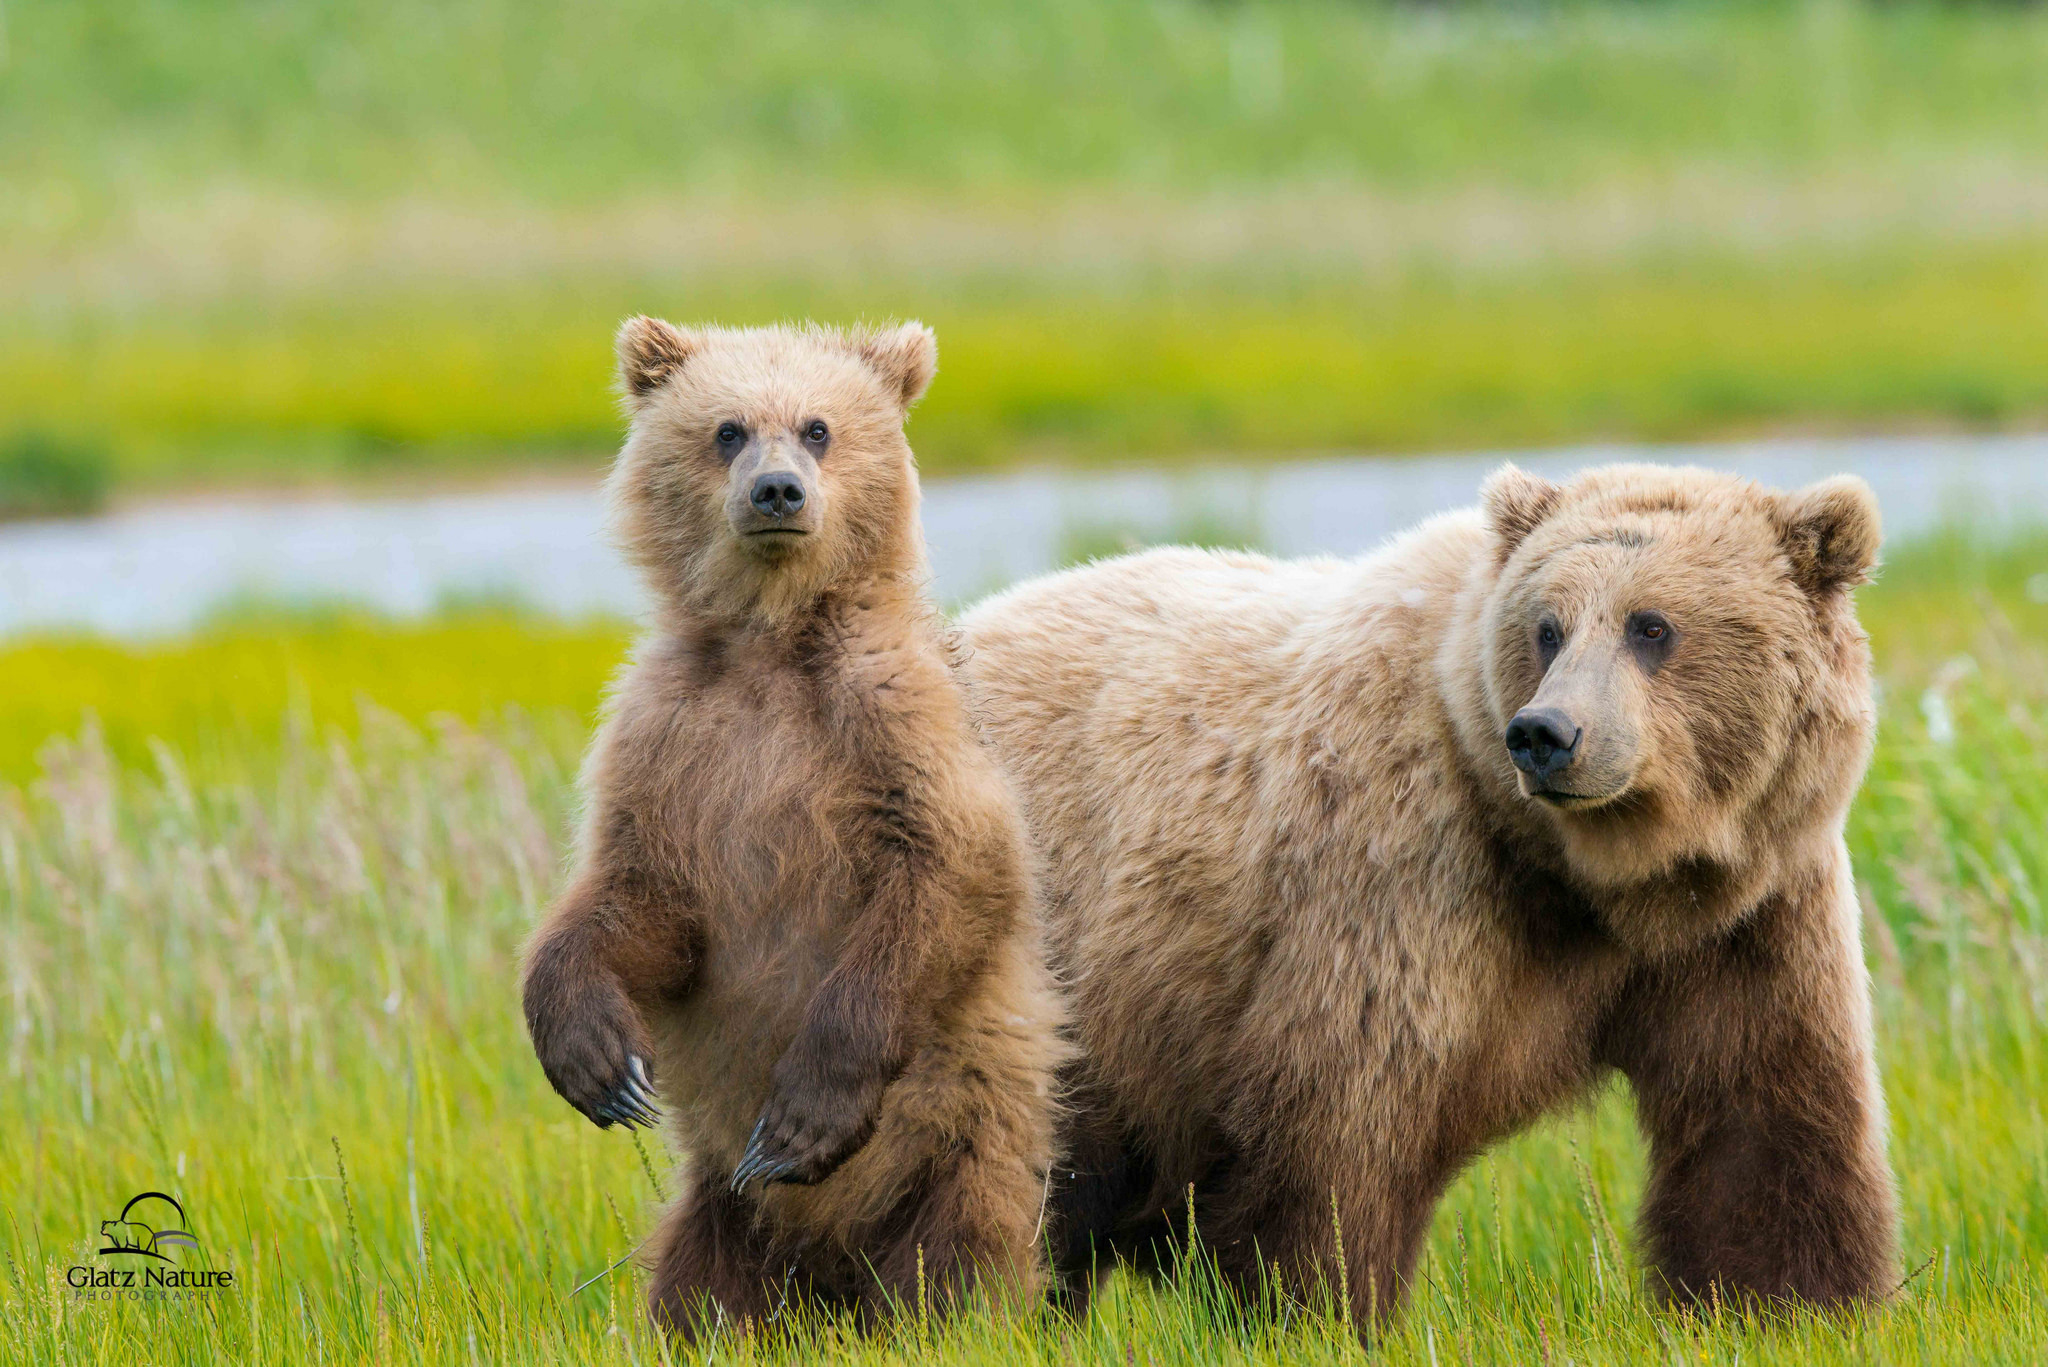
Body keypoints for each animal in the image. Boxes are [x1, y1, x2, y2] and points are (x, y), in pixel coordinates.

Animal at [521, 318, 1067, 1338]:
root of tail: (829, 1272)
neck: (769, 644)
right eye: (729, 429)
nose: (778, 490)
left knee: (957, 1253)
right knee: (698, 1279)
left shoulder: (892, 723)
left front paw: (799, 1120)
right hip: (719, 1203)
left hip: (963, 1137)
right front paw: (600, 1062)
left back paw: (934, 1312)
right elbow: (638, 895)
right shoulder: (669, 737)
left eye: (818, 427)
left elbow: (947, 878)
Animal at [955, 462, 1898, 1331]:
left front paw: (1793, 1300)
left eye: (1651, 625)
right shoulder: (1400, 875)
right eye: (1548, 627)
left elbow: (1765, 1113)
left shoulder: (1752, 907)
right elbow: (1339, 1129)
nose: (1547, 734)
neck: (1600, 880)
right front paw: (1320, 1309)